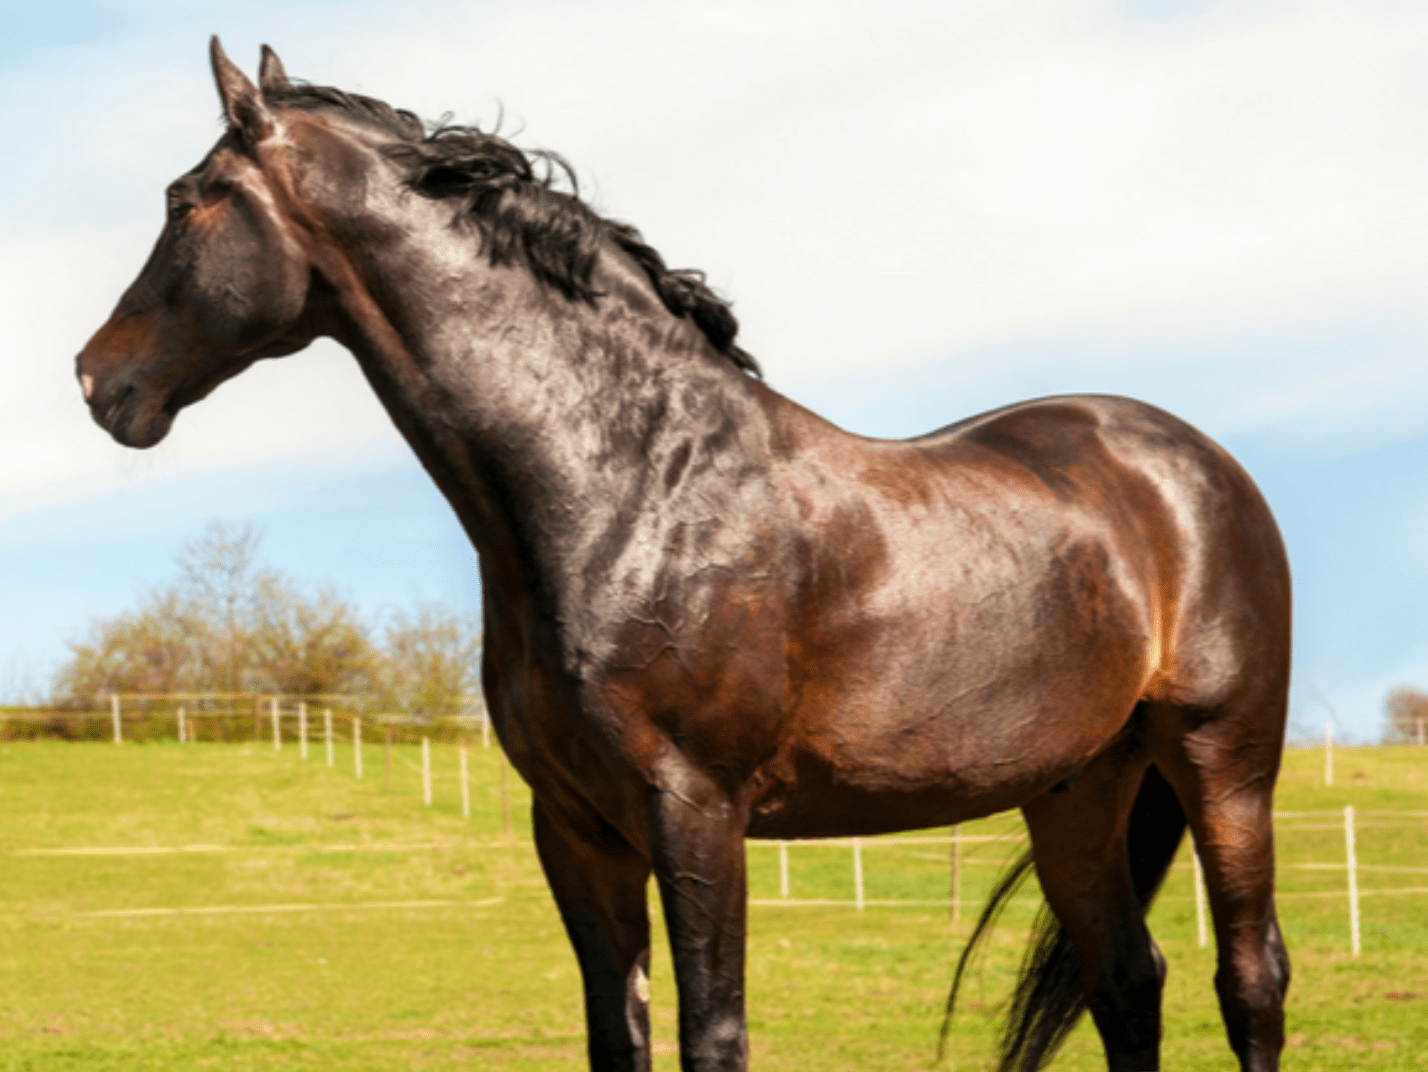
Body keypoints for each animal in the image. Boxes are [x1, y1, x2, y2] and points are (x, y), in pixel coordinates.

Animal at [76, 40, 1292, 1072]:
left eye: (186, 201)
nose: (97, 379)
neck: (632, 488)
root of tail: (1194, 465)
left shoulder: (696, 809)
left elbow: (714, 1036)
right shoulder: (577, 827)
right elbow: (619, 1037)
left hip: (1221, 762)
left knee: (1250, 980)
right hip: (1079, 788)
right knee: (1126, 981)